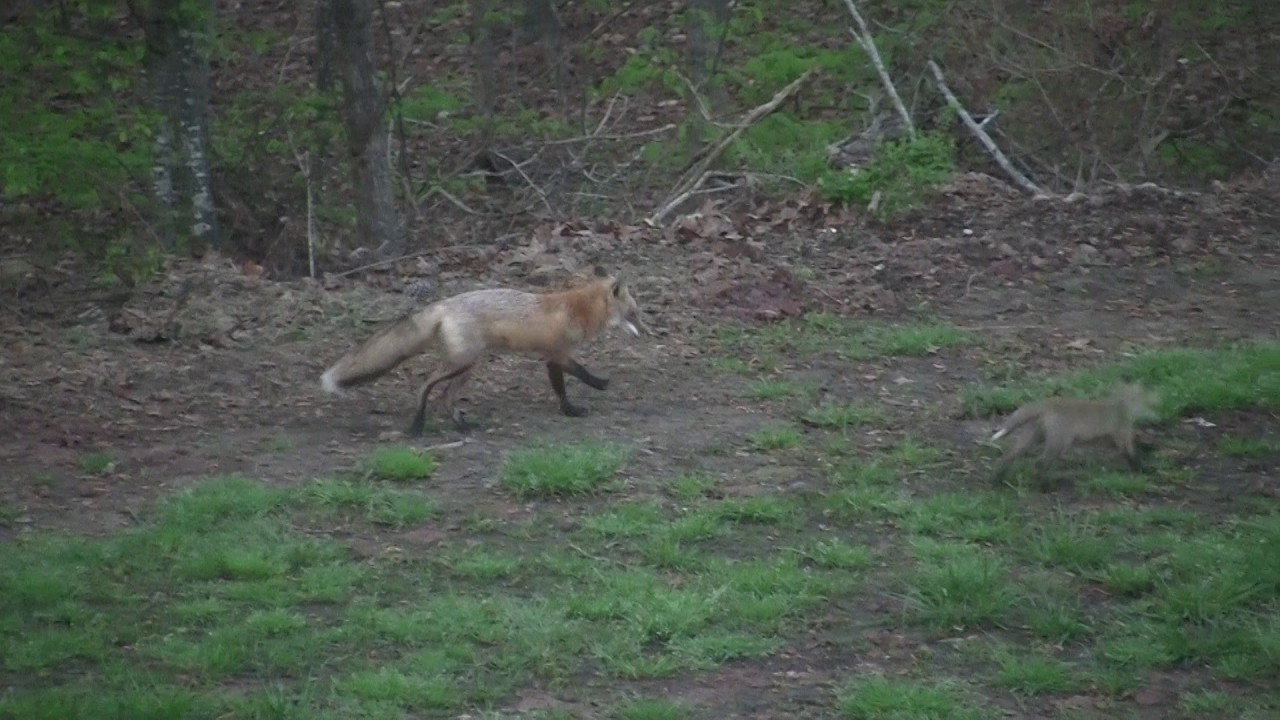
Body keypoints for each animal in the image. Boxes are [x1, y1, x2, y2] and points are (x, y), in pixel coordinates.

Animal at [320, 266, 649, 436]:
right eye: (634, 314)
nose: (648, 333)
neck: (575, 311)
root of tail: (442, 305)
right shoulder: (556, 354)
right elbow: (575, 377)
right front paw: (590, 393)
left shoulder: (551, 357)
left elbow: (565, 384)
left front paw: (575, 405)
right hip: (461, 362)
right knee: (426, 387)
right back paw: (418, 424)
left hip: (467, 367)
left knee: (446, 397)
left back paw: (463, 425)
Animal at [988, 383, 1160, 483]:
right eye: (1146, 401)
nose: (1155, 406)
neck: (1120, 408)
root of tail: (1046, 403)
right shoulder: (1121, 434)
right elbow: (1132, 456)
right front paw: (1142, 471)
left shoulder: (1112, 437)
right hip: (1060, 442)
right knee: (1039, 463)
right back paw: (1045, 486)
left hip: (1033, 438)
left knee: (1008, 457)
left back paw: (997, 481)